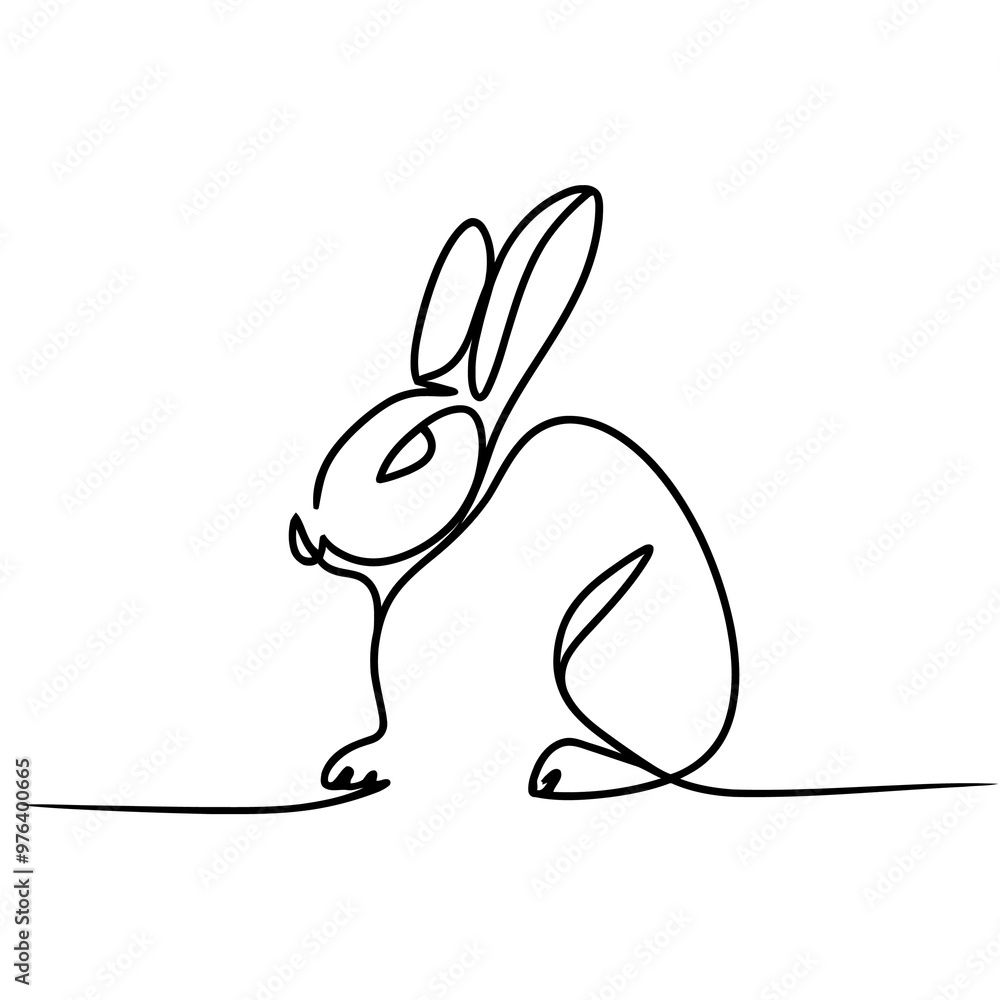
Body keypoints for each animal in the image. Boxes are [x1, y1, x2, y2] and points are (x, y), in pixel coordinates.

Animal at [288, 185, 988, 806]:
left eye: (413, 452)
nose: (304, 533)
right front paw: (354, 766)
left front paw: (367, 768)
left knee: (651, 765)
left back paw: (568, 771)